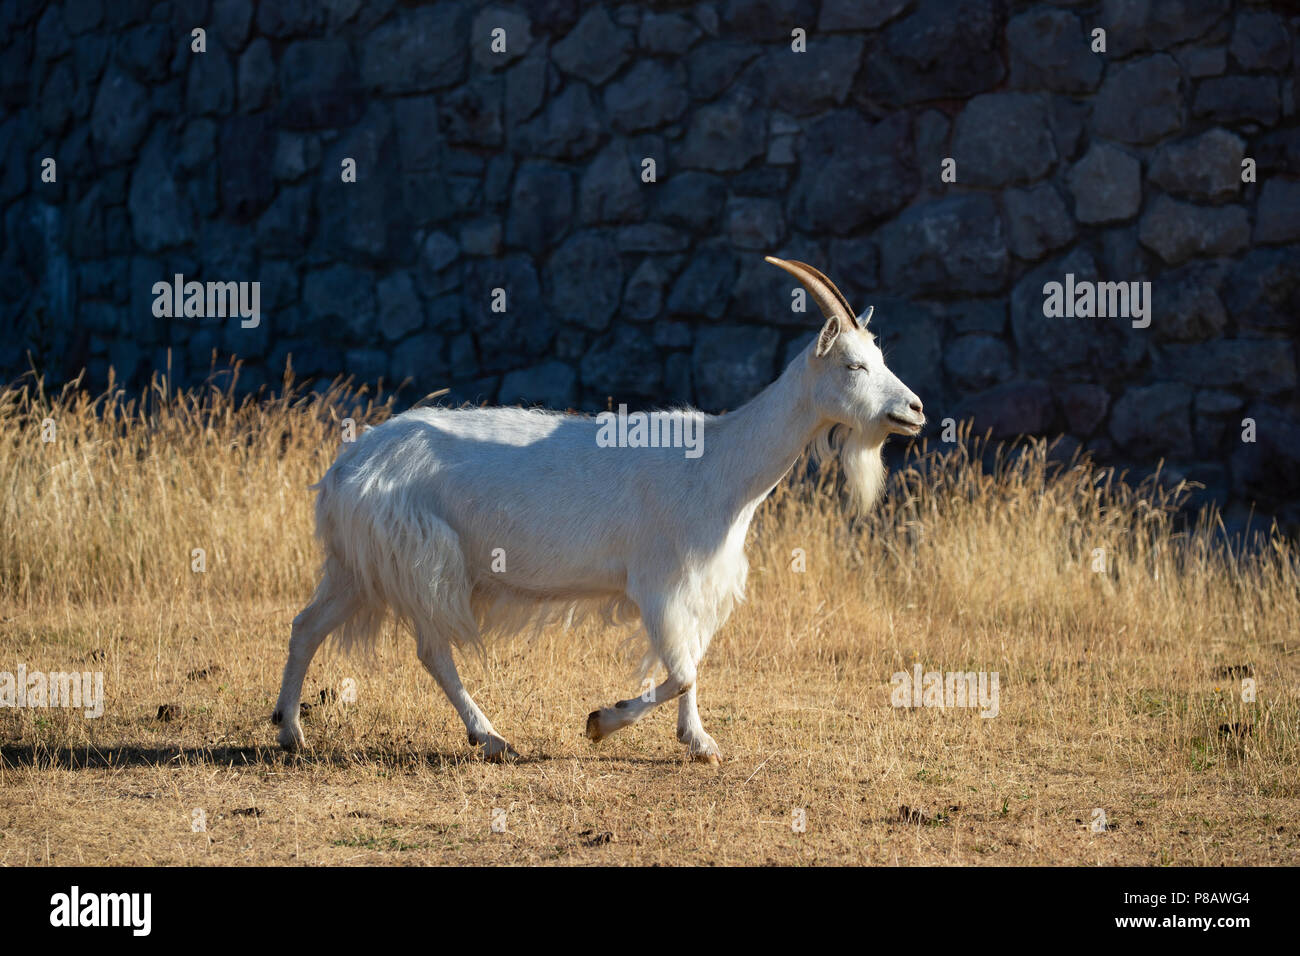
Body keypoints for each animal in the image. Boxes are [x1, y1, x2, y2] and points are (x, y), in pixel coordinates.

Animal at [271, 257, 925, 763]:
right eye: (853, 365)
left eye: (881, 356)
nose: (916, 410)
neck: (720, 463)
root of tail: (344, 469)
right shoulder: (657, 584)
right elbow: (682, 670)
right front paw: (603, 722)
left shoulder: (695, 586)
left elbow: (692, 662)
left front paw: (697, 742)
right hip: (421, 557)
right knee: (432, 650)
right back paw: (491, 738)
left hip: (357, 565)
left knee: (307, 625)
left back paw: (290, 731)